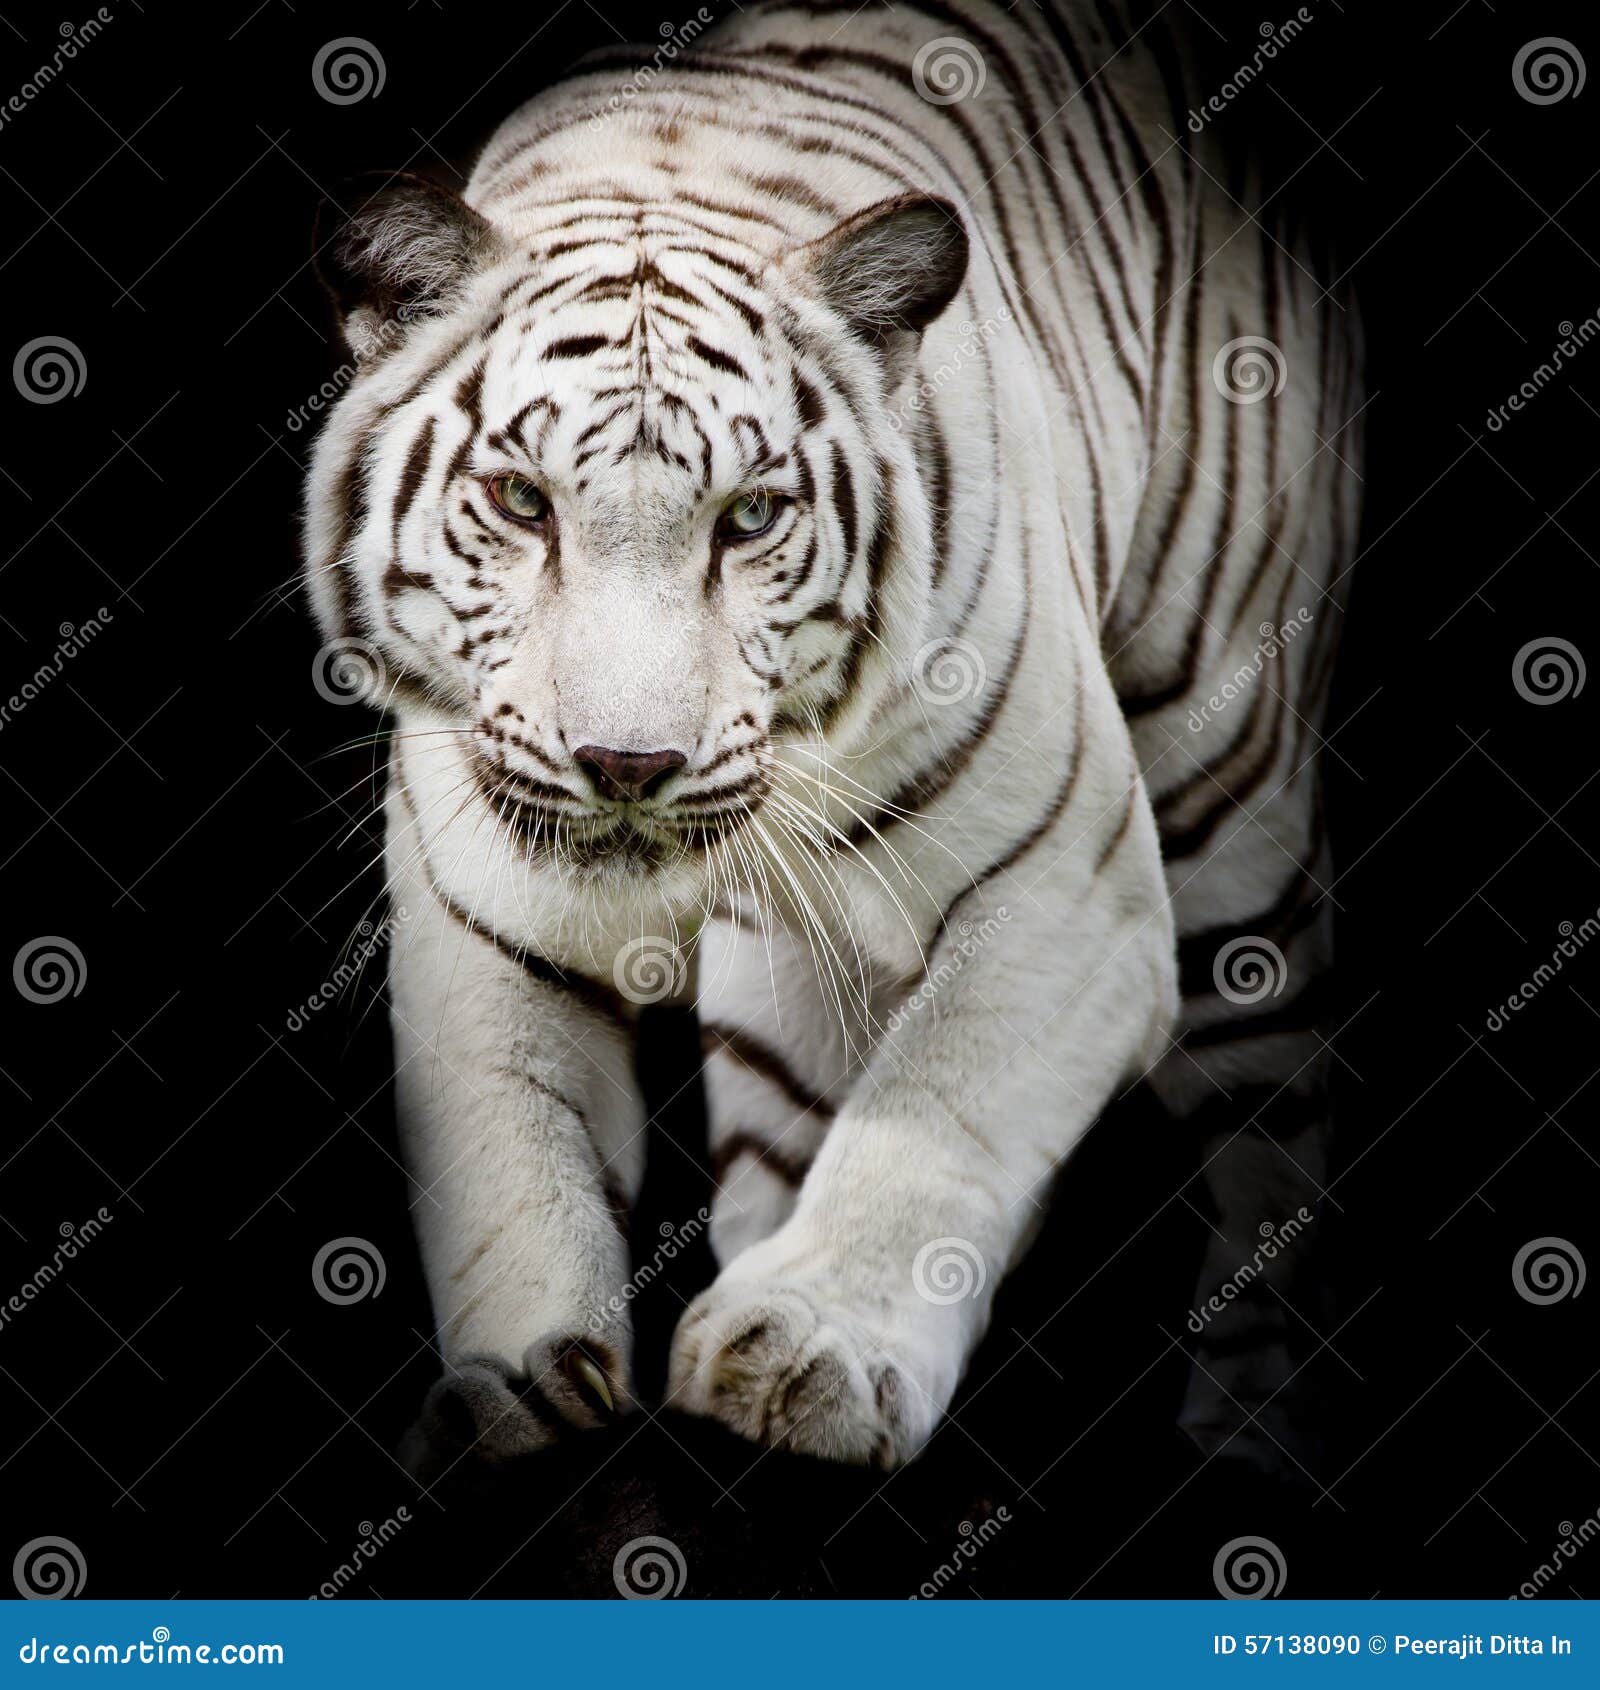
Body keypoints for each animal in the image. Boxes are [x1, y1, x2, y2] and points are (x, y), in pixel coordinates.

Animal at [302, 0, 1362, 1477]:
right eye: (520, 501)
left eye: (749, 517)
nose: (627, 765)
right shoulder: (486, 911)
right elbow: (514, 1154)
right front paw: (516, 1390)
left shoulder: (1070, 886)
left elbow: (937, 1105)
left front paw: (813, 1356)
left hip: (1230, 803)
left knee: (1275, 1124)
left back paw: (1254, 1428)